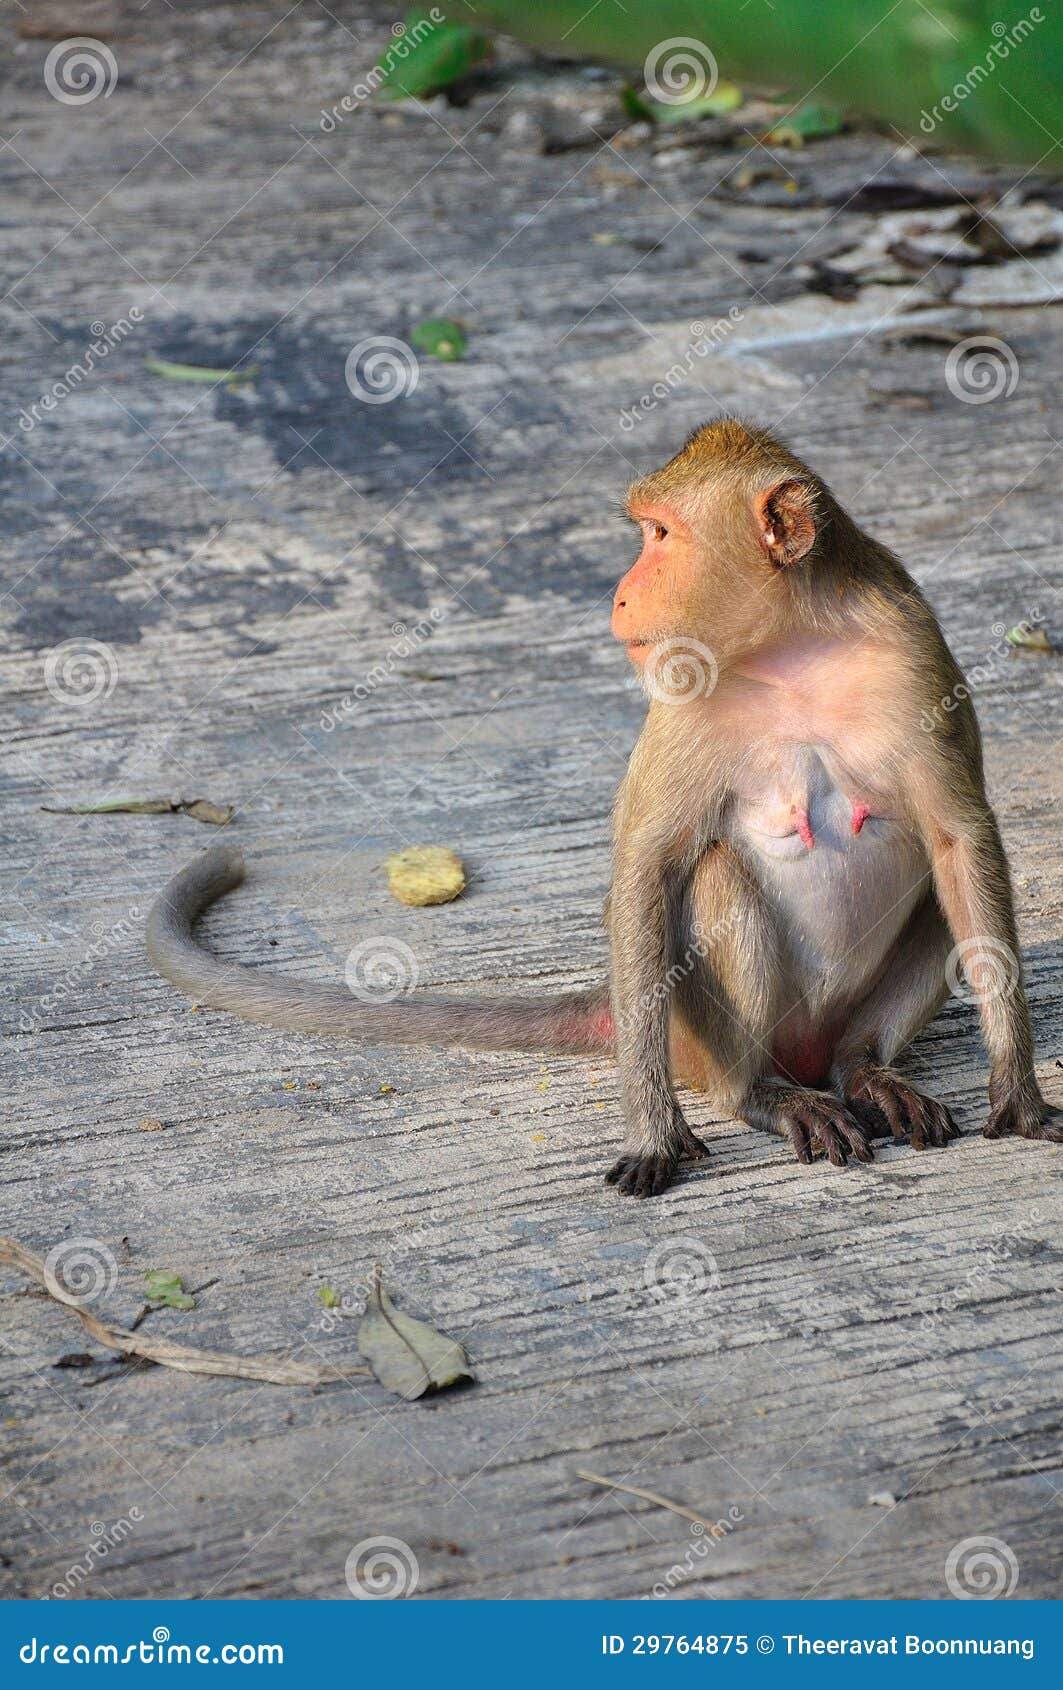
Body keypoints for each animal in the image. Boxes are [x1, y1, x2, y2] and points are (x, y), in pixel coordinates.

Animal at [147, 418, 1062, 1197]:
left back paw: (864, 1069)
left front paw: (1017, 1094)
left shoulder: (911, 651)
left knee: (944, 897)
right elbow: (647, 871)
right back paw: (760, 1096)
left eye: (660, 536)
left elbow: (961, 840)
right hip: (694, 1034)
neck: (790, 649)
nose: (620, 592)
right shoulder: (682, 689)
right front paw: (653, 1133)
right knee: (717, 885)